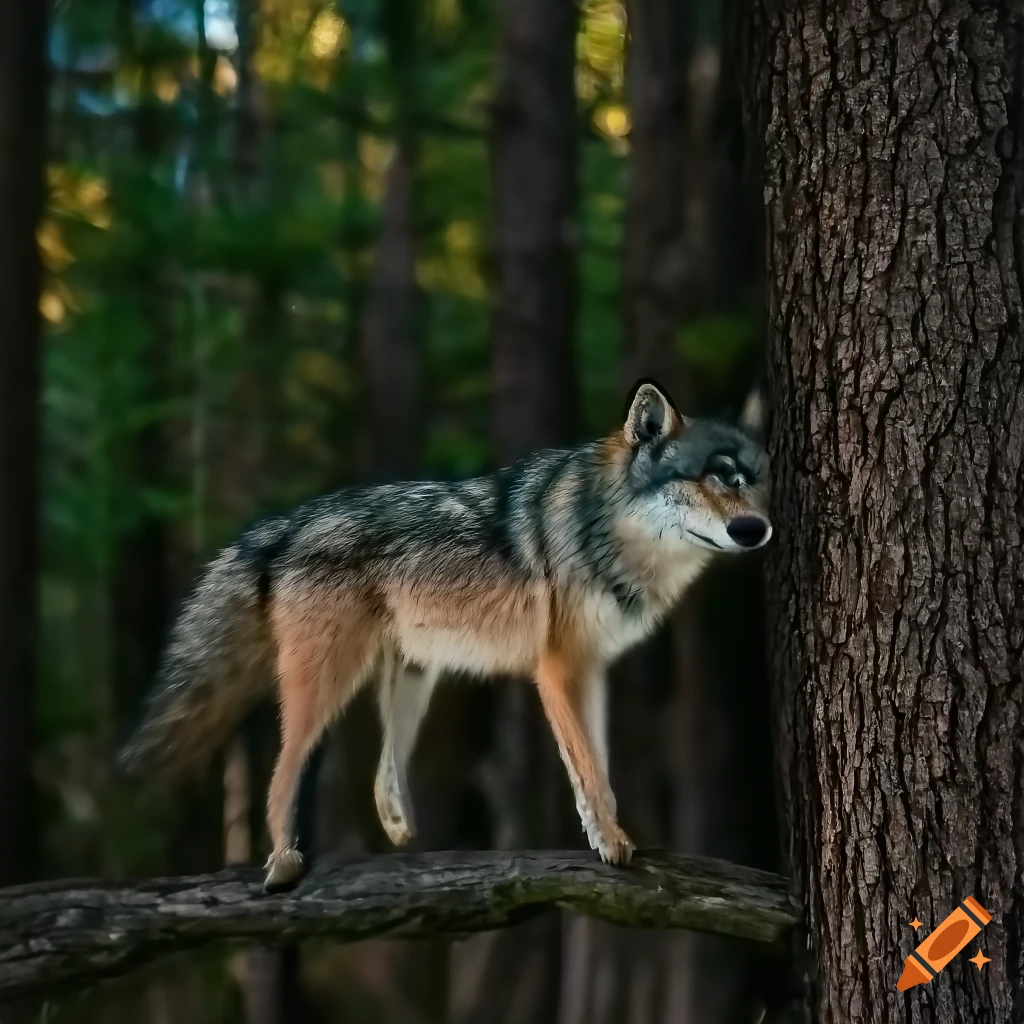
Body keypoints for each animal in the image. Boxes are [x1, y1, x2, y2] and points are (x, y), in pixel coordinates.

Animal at [118, 380, 772, 891]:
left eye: (755, 482)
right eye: (712, 480)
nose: (756, 530)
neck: (606, 532)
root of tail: (282, 525)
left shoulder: (591, 669)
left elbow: (603, 771)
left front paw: (612, 834)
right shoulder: (558, 668)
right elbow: (587, 768)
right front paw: (610, 843)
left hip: (413, 677)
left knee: (382, 777)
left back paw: (402, 836)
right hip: (328, 685)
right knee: (283, 774)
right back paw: (282, 864)